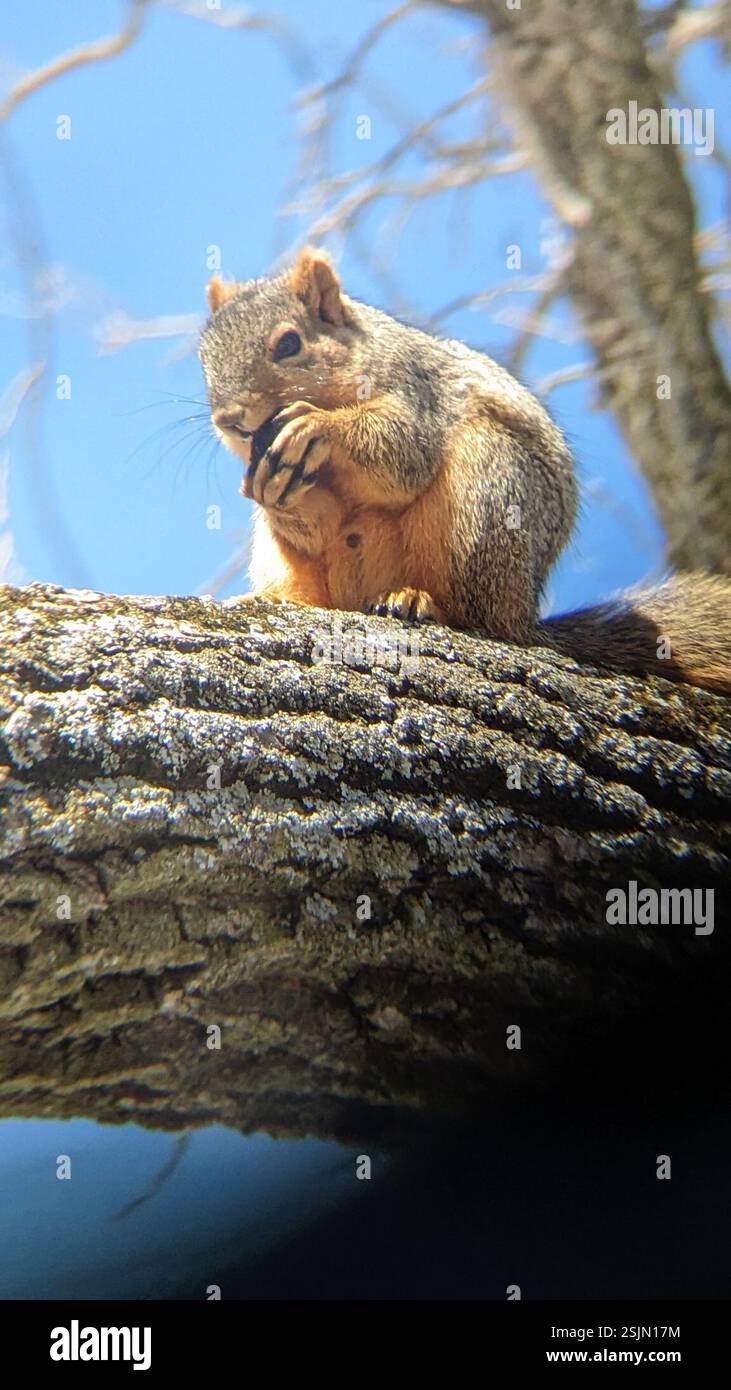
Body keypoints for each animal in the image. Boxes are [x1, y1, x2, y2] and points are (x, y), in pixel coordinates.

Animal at [199, 247, 731, 696]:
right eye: (204, 361)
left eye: (289, 343)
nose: (229, 419)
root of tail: (524, 614)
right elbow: (317, 521)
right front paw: (280, 493)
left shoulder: (416, 391)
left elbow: (403, 454)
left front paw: (319, 426)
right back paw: (273, 600)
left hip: (487, 490)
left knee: (476, 616)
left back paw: (419, 600)